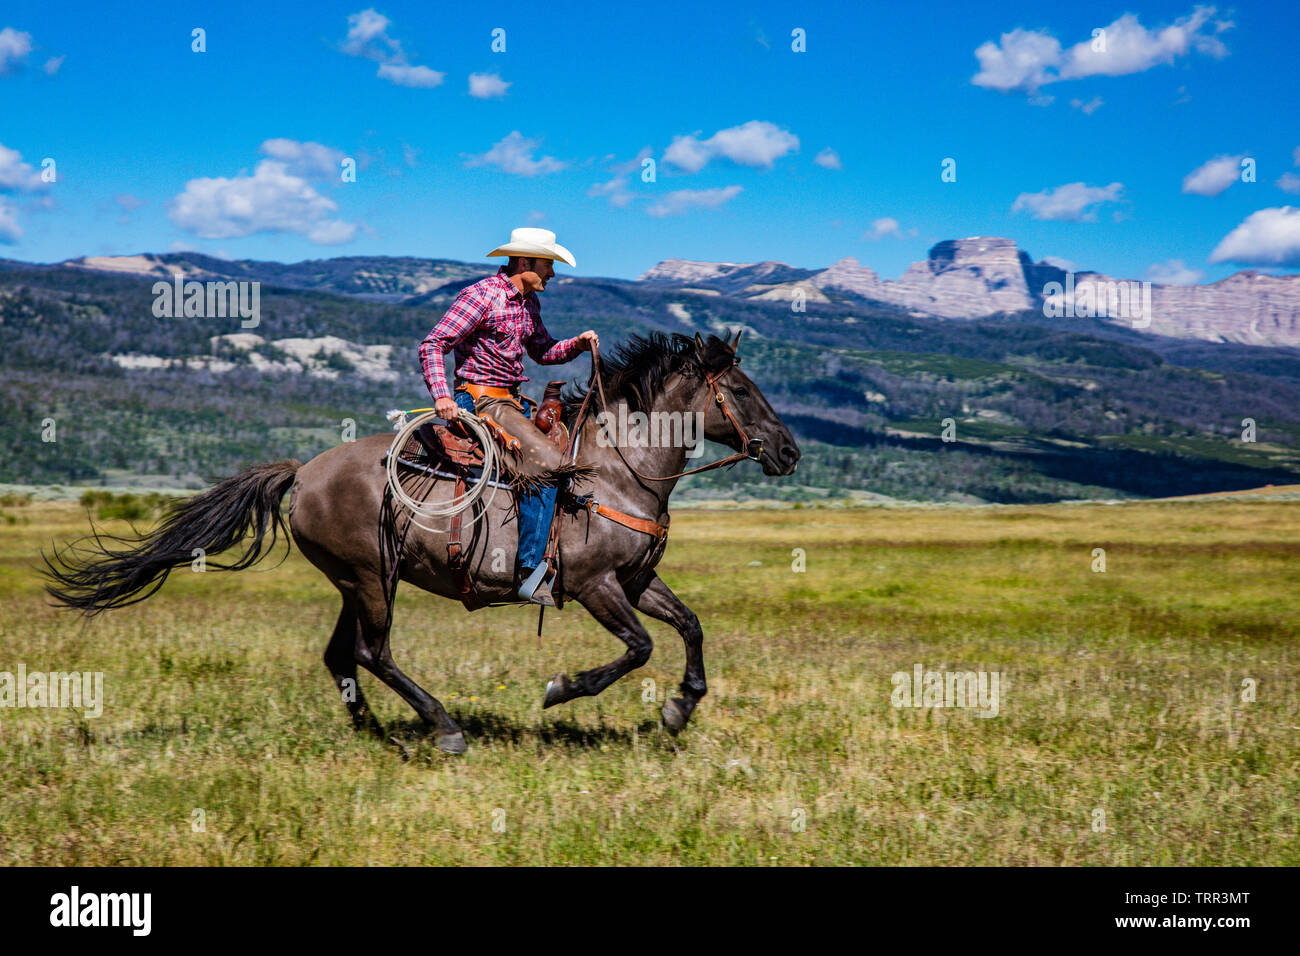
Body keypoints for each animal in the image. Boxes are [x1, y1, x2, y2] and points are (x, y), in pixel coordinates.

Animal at [42, 331, 801, 753]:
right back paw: (443, 728)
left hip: (356, 582)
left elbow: (691, 627)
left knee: (341, 656)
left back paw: (376, 734)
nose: (790, 451)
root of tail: (303, 471)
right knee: (373, 653)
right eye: (739, 389)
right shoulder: (594, 587)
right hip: (372, 579)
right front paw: (561, 690)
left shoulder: (637, 581)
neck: (619, 468)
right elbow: (638, 647)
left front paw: (679, 707)